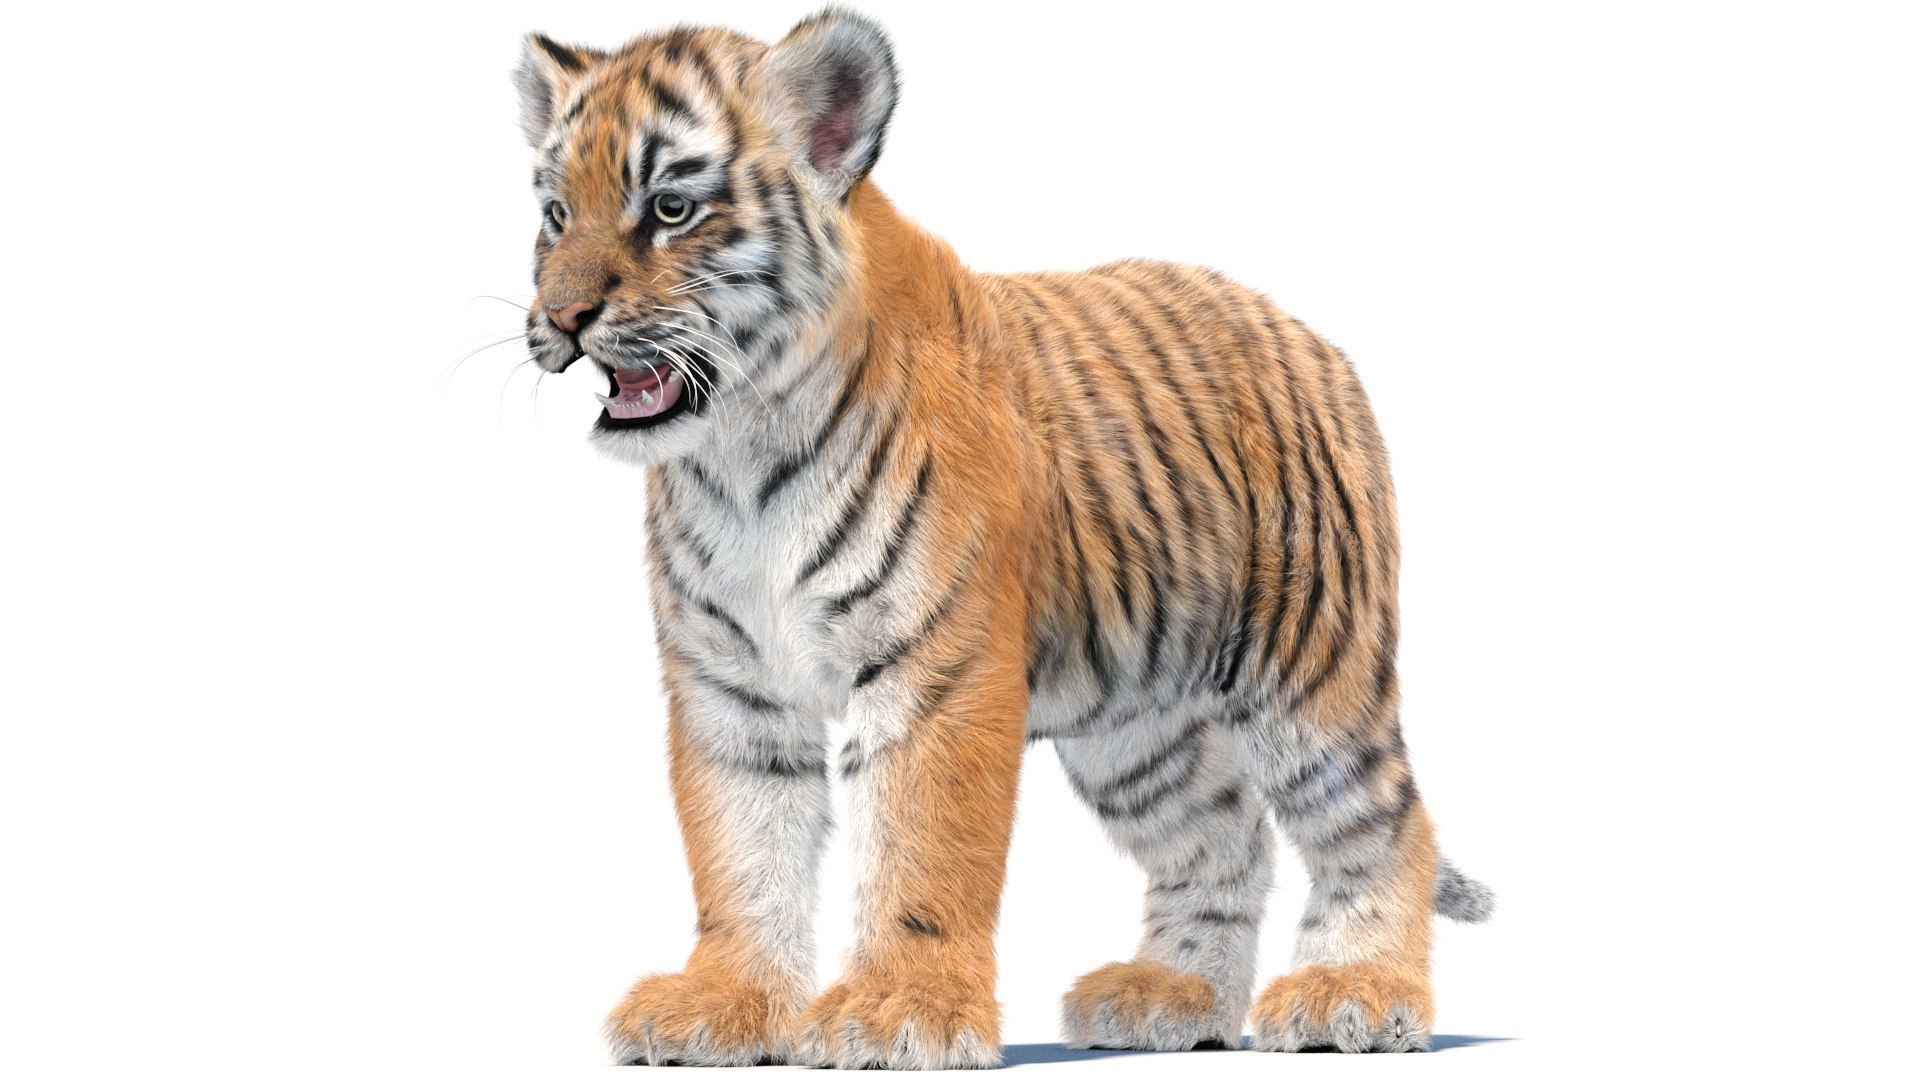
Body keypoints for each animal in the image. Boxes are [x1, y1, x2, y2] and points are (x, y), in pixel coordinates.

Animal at [508, 7, 1492, 1068]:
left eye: (671, 208)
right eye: (556, 214)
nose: (561, 317)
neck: (740, 455)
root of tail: (1301, 330)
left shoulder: (937, 667)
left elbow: (923, 846)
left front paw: (896, 1011)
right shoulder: (733, 688)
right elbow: (741, 851)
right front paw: (723, 1004)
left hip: (1308, 667)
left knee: (1382, 824)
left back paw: (1353, 994)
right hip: (1134, 727)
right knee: (1226, 835)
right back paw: (1173, 998)